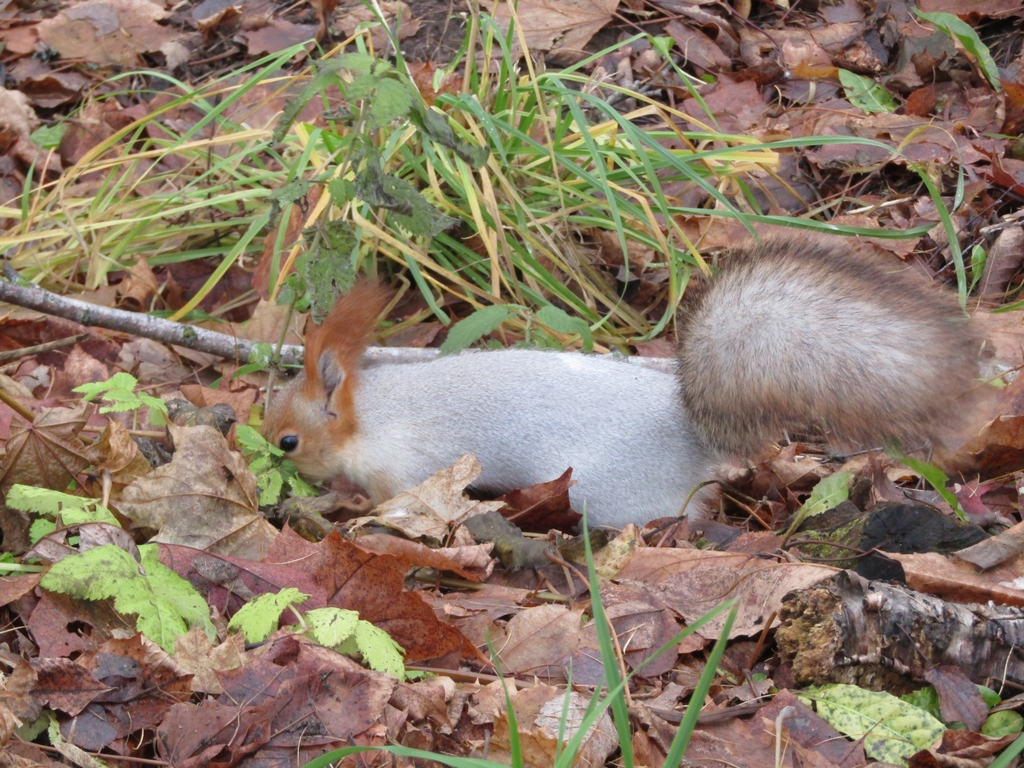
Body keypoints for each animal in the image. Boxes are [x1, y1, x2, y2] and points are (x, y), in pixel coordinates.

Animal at [261, 235, 981, 528]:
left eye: (289, 441)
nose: (270, 457)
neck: (374, 412)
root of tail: (688, 437)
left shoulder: (406, 470)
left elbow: (390, 504)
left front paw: (331, 507)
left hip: (605, 493)